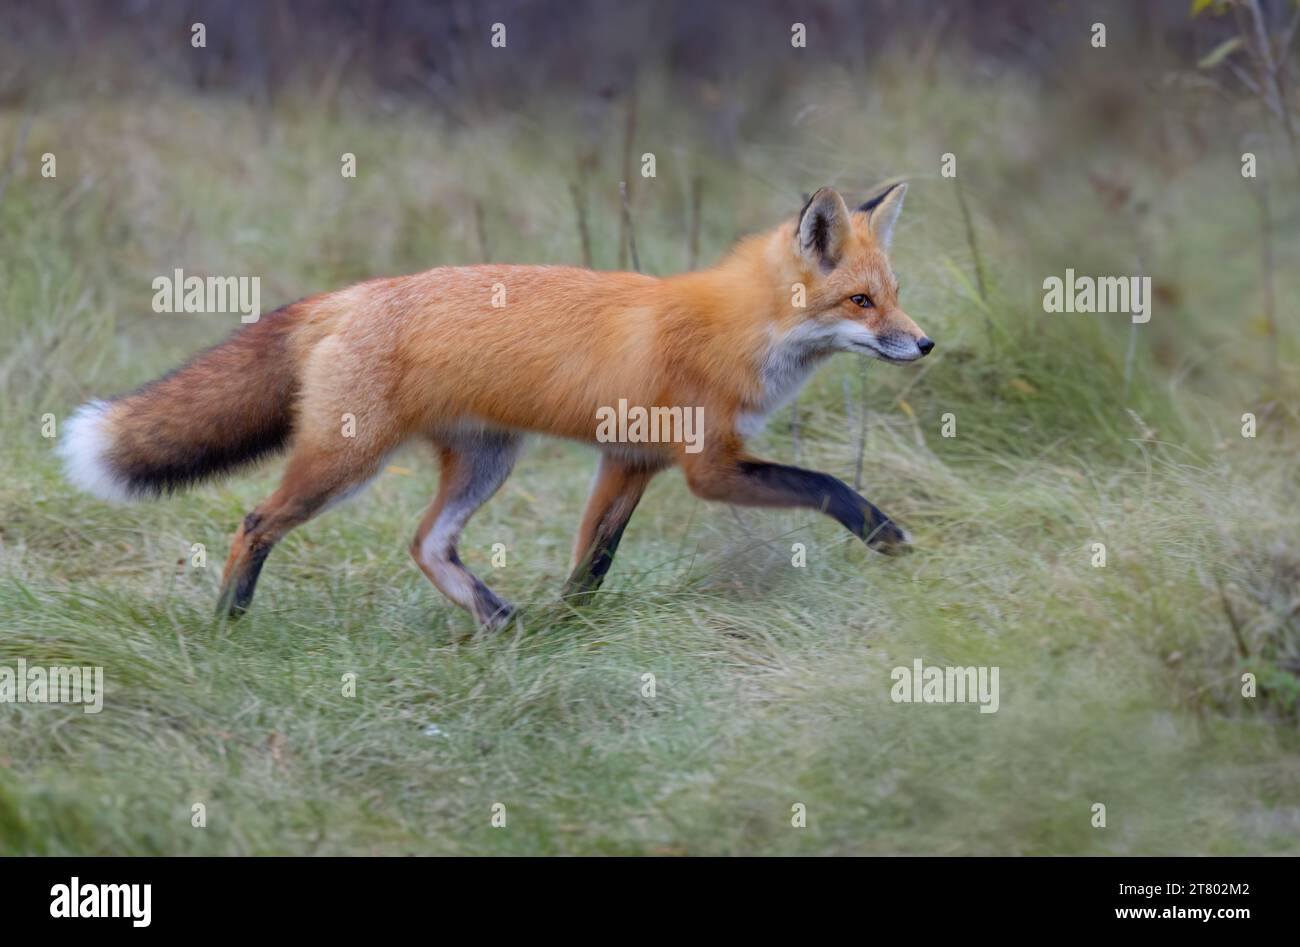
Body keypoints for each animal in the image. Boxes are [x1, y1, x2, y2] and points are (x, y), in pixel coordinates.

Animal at [59, 182, 933, 631]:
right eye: (861, 302)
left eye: (895, 295)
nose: (925, 343)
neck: (736, 328)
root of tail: (349, 294)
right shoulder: (706, 467)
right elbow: (826, 484)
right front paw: (885, 534)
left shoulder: (631, 462)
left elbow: (593, 564)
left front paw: (568, 629)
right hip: (344, 463)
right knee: (253, 523)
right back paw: (228, 623)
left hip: (486, 462)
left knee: (426, 542)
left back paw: (494, 615)